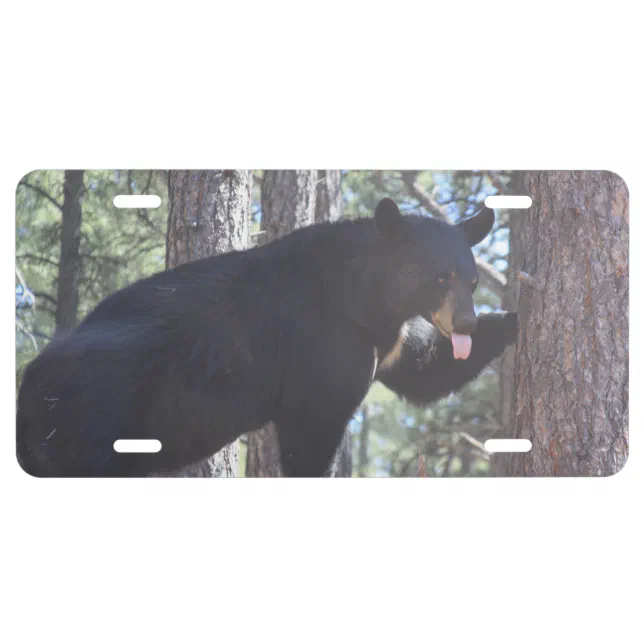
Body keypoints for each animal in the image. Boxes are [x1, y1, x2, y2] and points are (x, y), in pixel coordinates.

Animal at [16, 197, 517, 477]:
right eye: (439, 276)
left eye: (472, 281)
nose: (466, 324)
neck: (366, 296)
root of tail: (29, 379)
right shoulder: (325, 339)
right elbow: (314, 427)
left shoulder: (385, 337)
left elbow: (422, 371)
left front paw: (512, 318)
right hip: (89, 418)